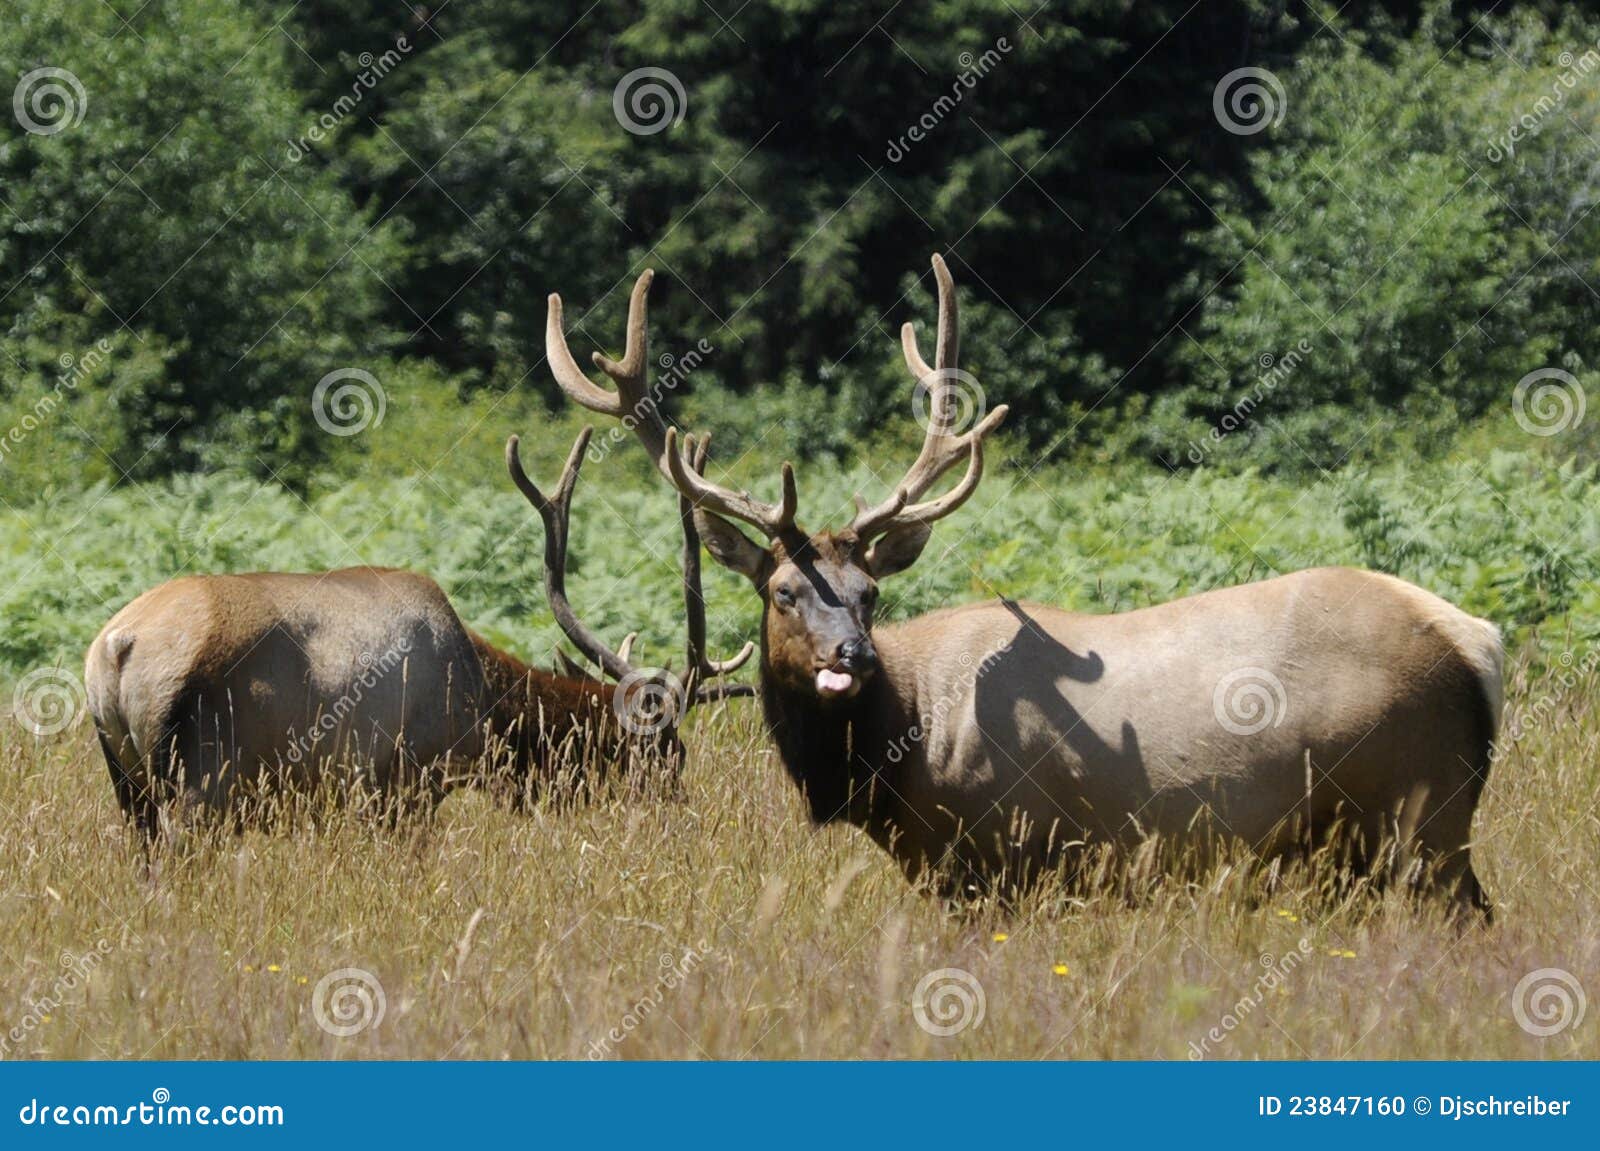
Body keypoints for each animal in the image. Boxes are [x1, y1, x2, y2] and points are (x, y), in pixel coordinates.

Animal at [83, 429, 753, 841]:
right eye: (666, 753)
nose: (682, 815)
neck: (483, 710)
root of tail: (117, 648)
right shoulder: (406, 783)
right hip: (200, 782)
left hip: (129, 785)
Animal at [544, 256, 1505, 920]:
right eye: (784, 591)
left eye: (869, 592)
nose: (850, 657)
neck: (897, 749)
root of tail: (1477, 641)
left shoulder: (1000, 855)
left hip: (1415, 809)